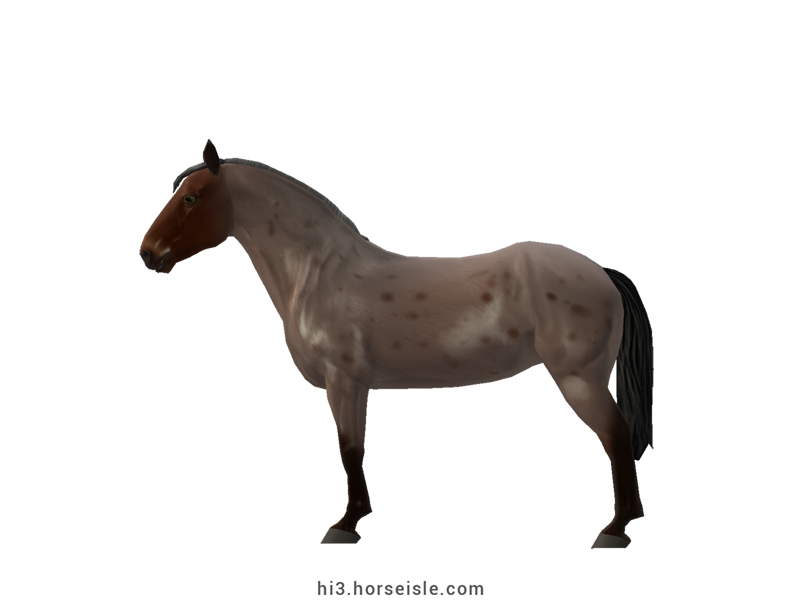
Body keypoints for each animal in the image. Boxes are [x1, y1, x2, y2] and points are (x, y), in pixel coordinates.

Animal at [140, 143, 653, 539]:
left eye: (191, 197)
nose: (149, 253)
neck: (317, 271)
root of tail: (602, 275)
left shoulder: (342, 378)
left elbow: (349, 446)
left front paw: (348, 521)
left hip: (579, 378)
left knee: (616, 435)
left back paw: (615, 527)